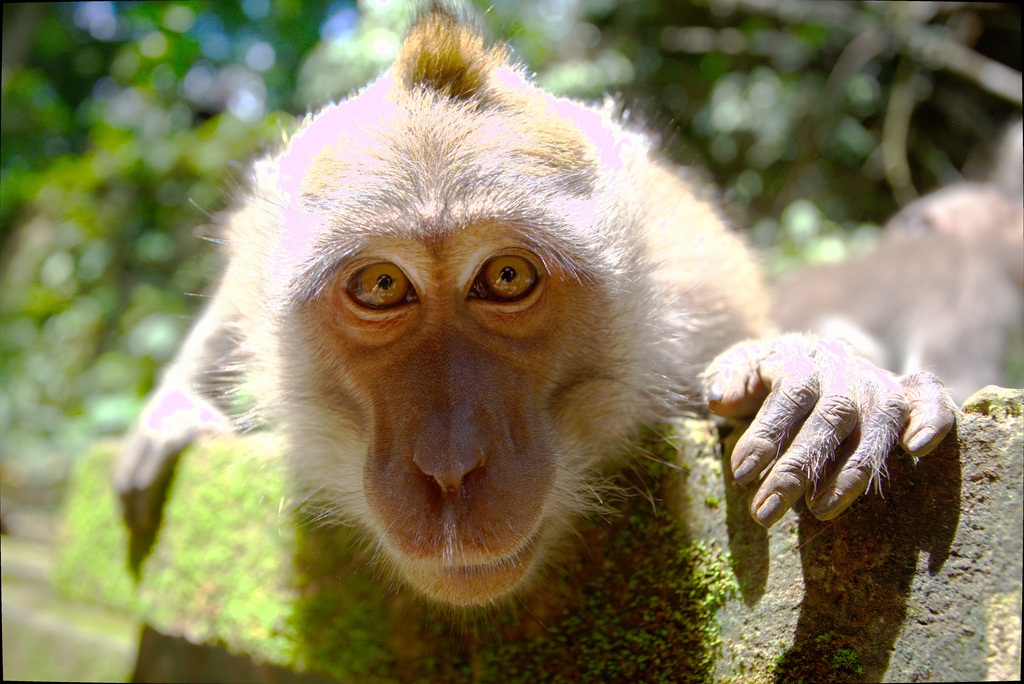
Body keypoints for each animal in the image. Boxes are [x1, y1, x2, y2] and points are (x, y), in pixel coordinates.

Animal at [114, 5, 956, 608]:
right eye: (382, 285)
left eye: (508, 276)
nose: (450, 469)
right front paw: (175, 409)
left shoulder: (698, 301)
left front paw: (812, 369)